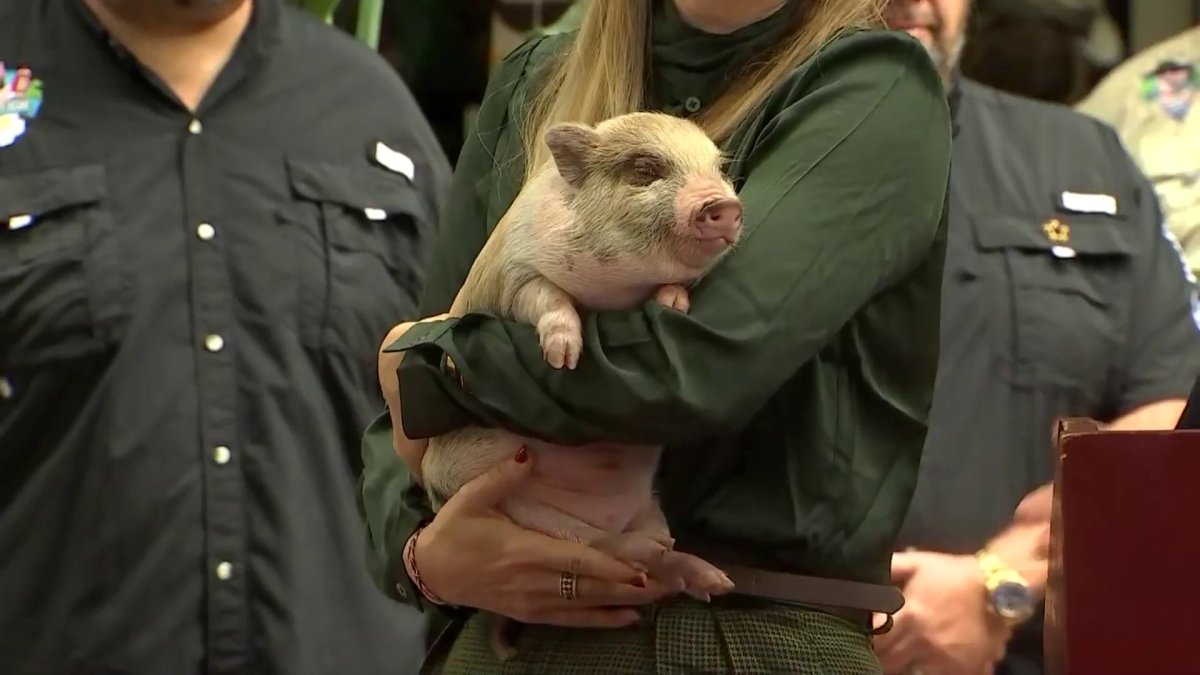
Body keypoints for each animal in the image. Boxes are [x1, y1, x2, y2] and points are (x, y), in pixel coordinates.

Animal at [413, 111, 744, 657]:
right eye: (646, 169)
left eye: (719, 168)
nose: (725, 204)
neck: (614, 291)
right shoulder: (518, 273)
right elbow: (550, 299)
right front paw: (564, 359)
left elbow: (671, 286)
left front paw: (674, 304)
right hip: (525, 513)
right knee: (610, 548)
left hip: (647, 507)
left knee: (655, 557)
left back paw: (714, 580)